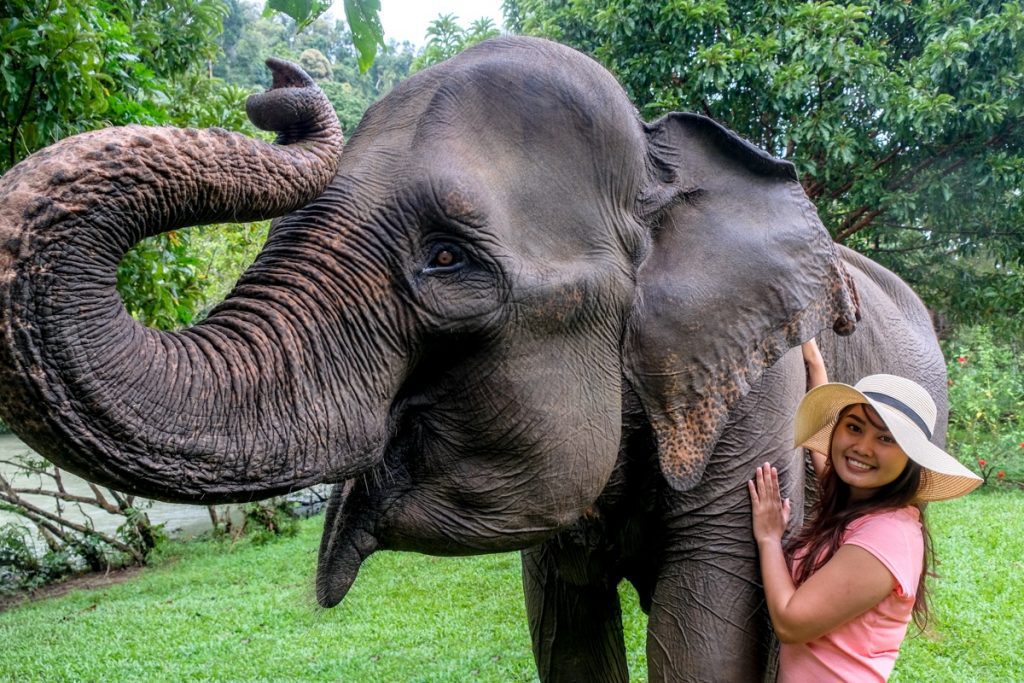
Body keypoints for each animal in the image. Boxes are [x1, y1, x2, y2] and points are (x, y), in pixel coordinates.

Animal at [0, 37, 946, 681]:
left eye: (447, 257)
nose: (278, 83)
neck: (658, 162)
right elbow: (565, 634)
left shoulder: (753, 417)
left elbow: (709, 642)